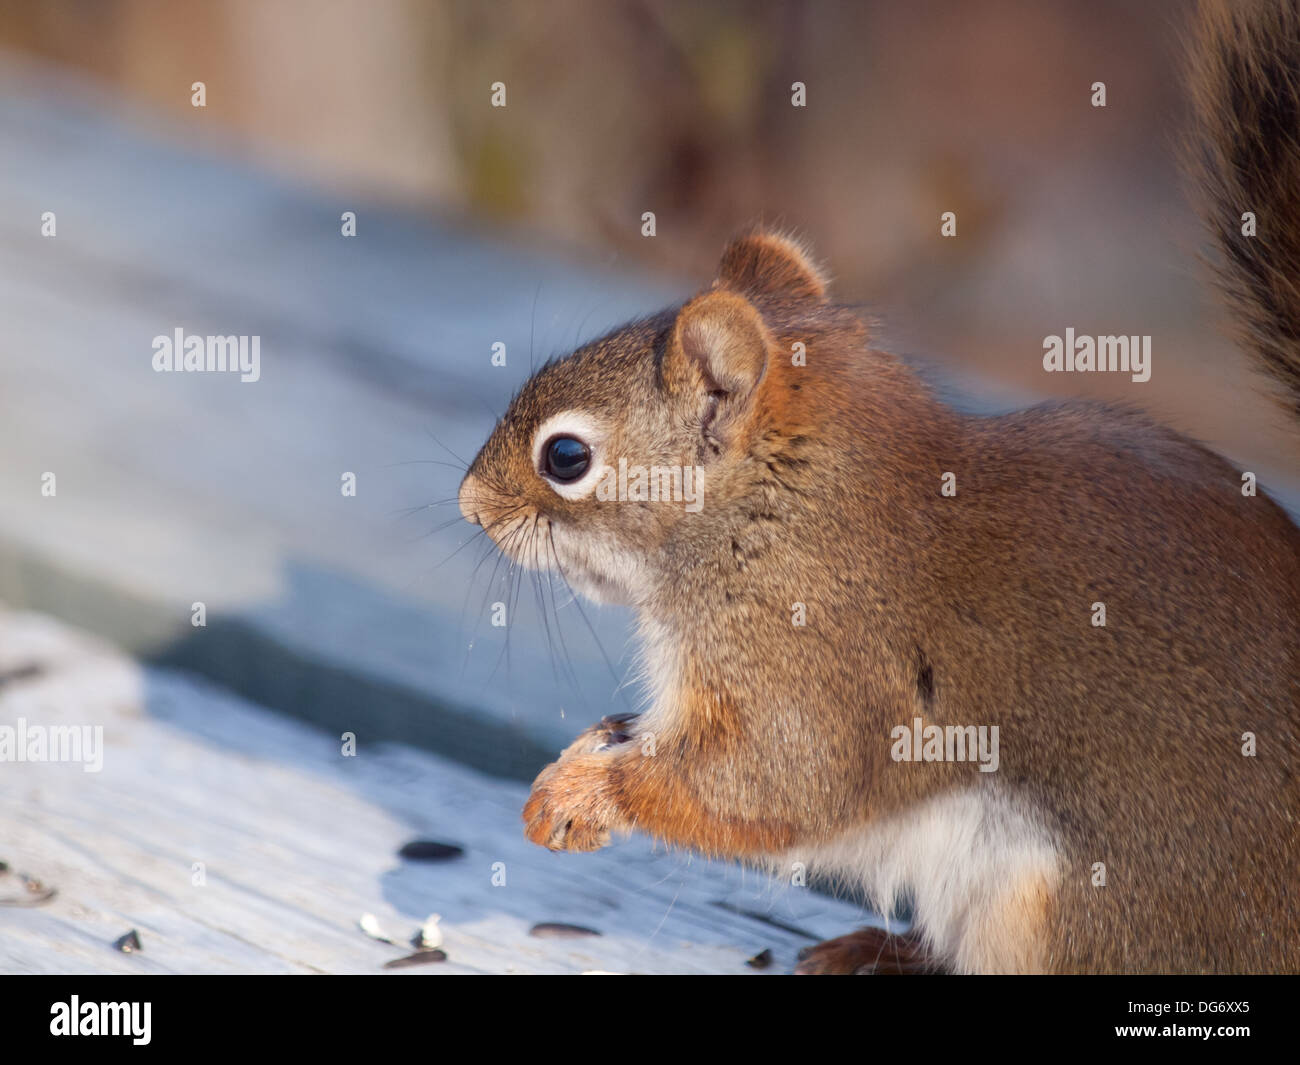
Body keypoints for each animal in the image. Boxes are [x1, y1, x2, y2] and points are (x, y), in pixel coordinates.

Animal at [458, 0, 1299, 974]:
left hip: (1065, 916)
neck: (785, 512)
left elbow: (777, 780)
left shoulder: (810, 655)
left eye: (565, 457)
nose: (470, 504)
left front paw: (584, 791)